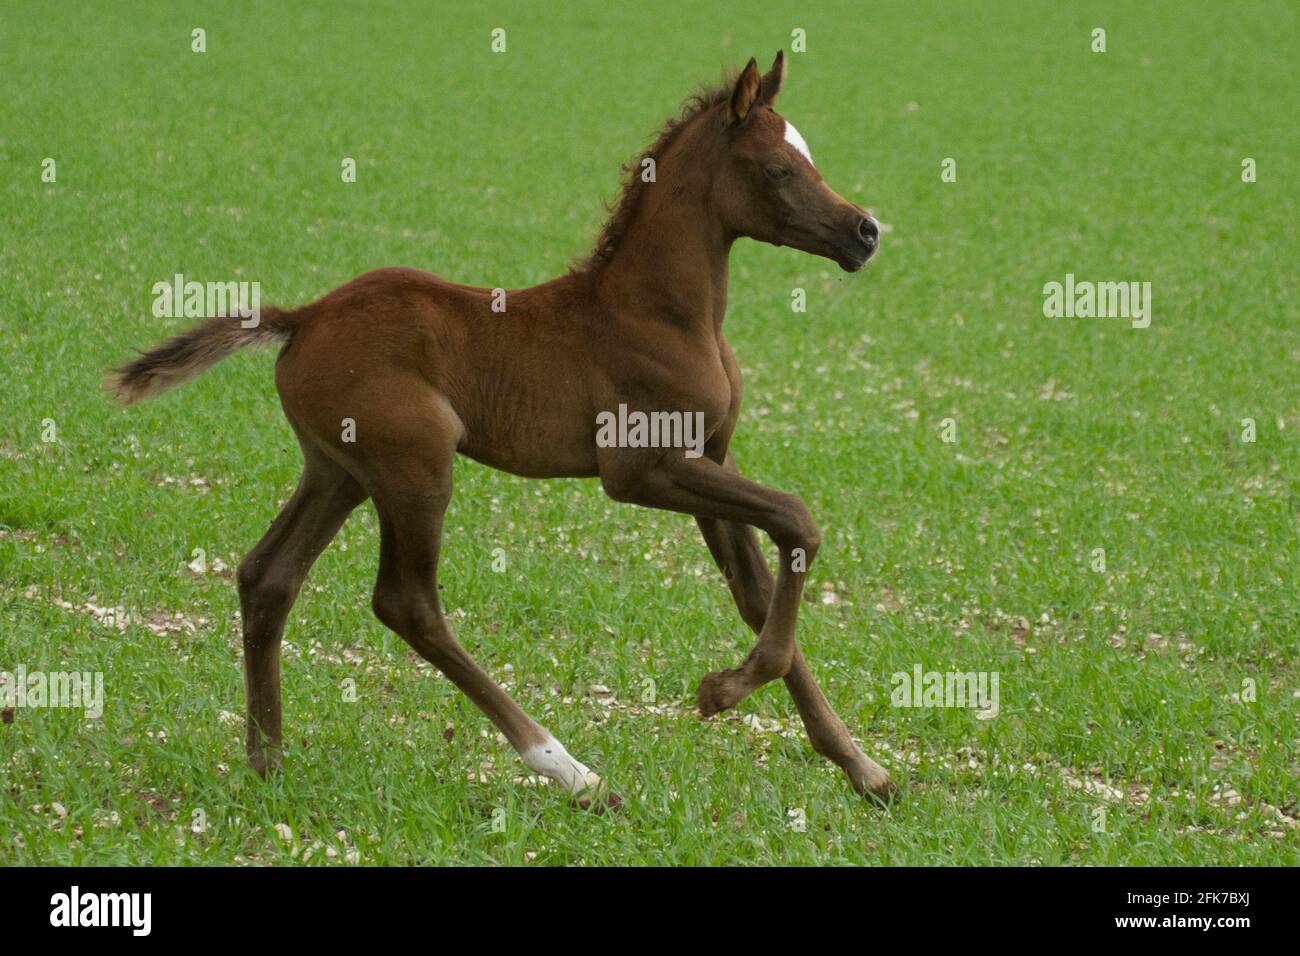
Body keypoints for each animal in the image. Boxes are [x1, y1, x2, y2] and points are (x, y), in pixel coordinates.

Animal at [106, 51, 896, 808]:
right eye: (778, 168)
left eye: (809, 157)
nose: (865, 232)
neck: (661, 313)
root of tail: (301, 318)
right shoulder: (642, 470)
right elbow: (798, 520)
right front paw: (720, 692)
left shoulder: (710, 459)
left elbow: (758, 590)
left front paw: (864, 770)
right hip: (416, 469)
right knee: (406, 603)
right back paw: (573, 774)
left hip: (340, 471)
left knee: (268, 575)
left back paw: (266, 761)